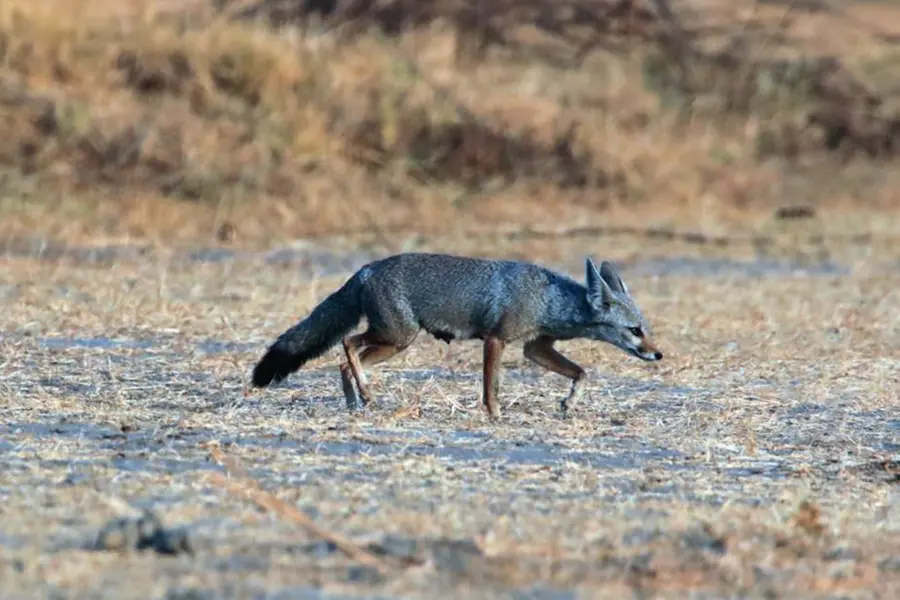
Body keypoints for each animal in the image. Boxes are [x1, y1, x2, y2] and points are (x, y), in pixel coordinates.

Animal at [251, 252, 663, 419]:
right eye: (635, 331)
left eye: (646, 329)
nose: (658, 354)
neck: (550, 298)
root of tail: (366, 269)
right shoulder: (496, 340)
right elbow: (490, 388)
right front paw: (495, 415)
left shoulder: (534, 348)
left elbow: (581, 372)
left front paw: (569, 403)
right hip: (398, 337)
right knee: (346, 344)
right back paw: (365, 393)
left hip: (393, 341)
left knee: (341, 361)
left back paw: (356, 402)